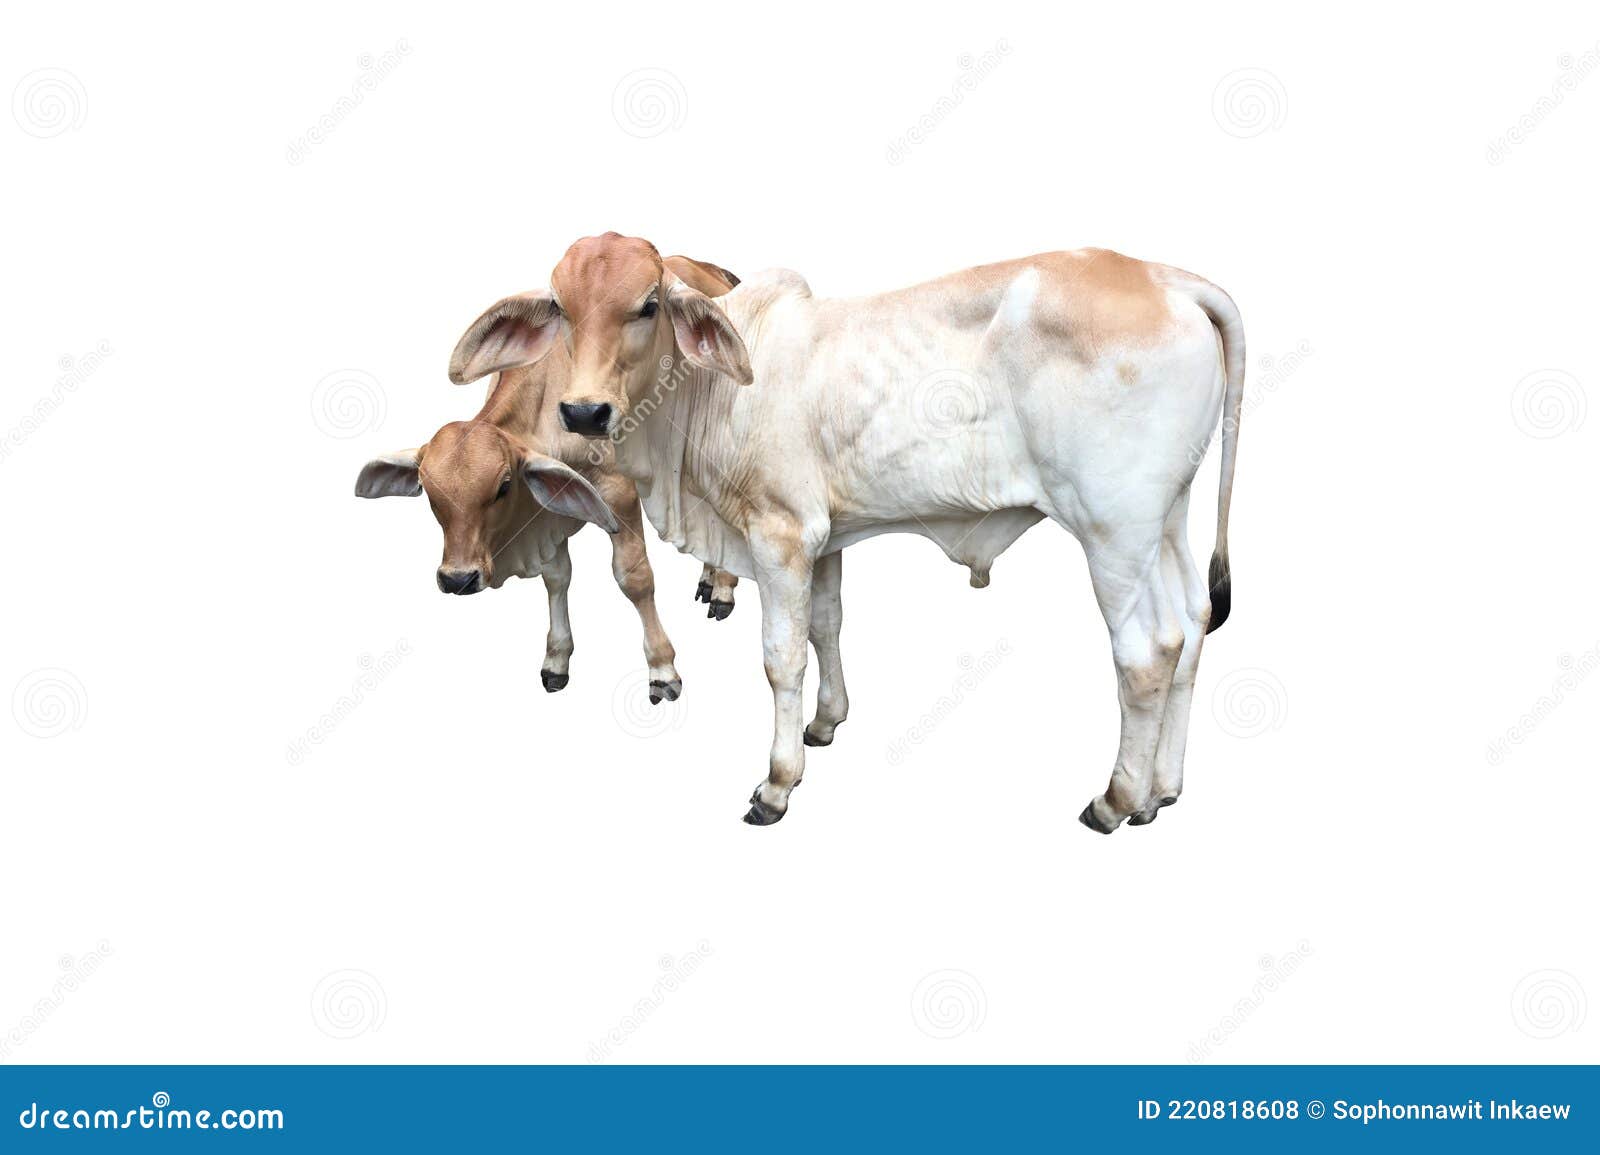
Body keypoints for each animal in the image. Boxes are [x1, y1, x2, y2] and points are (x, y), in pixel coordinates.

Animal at [356, 252, 740, 703]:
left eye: (503, 487)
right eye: (429, 495)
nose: (458, 578)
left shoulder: (619, 495)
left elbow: (635, 579)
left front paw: (662, 669)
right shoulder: (549, 506)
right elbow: (557, 578)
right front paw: (556, 658)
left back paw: (723, 587)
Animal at [446, 233, 1245, 833]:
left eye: (647, 305)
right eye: (561, 308)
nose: (583, 412)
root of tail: (1169, 280)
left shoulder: (780, 535)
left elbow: (781, 658)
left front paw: (776, 782)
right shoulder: (824, 539)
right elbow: (826, 627)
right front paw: (825, 724)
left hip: (1112, 529)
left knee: (1147, 650)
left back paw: (1116, 798)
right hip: (1167, 519)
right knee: (1193, 624)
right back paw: (1163, 790)